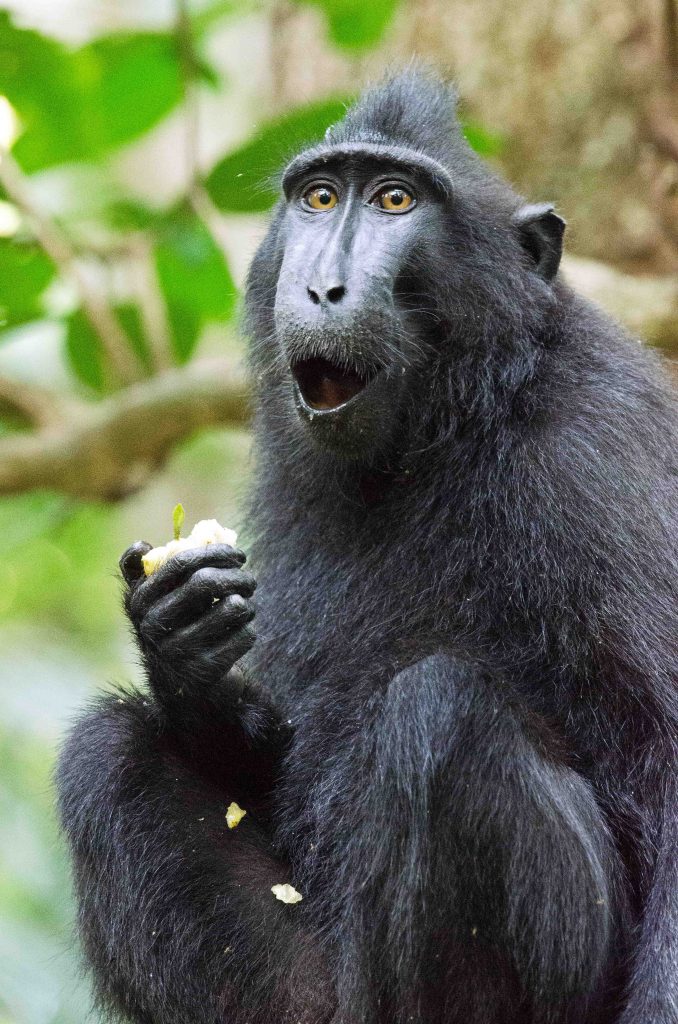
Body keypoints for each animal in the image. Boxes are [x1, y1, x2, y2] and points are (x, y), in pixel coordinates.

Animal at [57, 69, 678, 1024]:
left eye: (395, 200)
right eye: (319, 198)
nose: (321, 289)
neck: (448, 427)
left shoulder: (597, 456)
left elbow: (665, 760)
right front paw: (178, 636)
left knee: (439, 710)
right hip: (314, 992)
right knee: (104, 752)